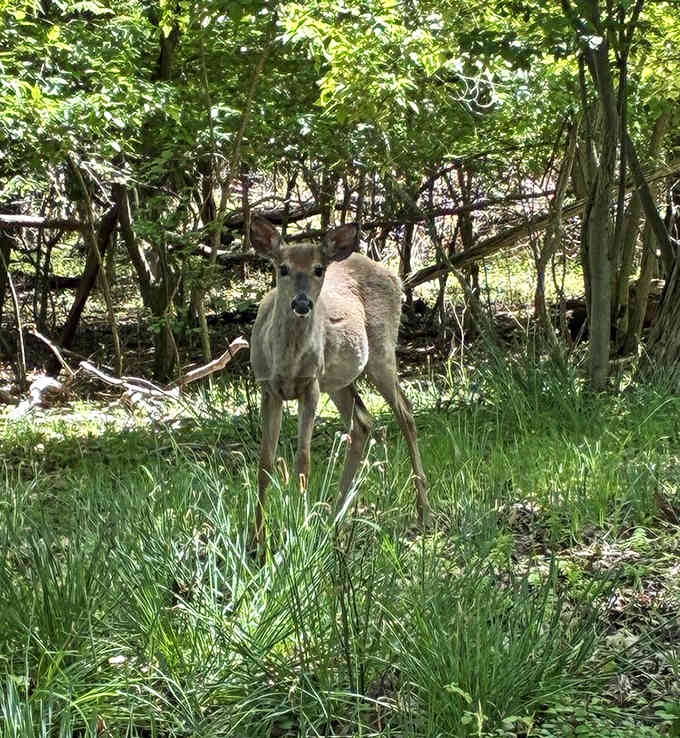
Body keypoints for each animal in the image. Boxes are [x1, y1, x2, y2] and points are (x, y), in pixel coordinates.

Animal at [249, 217, 432, 547]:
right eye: (283, 268)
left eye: (319, 269)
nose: (302, 303)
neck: (287, 362)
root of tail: (394, 277)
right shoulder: (268, 387)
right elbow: (265, 463)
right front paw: (258, 542)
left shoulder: (311, 386)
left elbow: (303, 460)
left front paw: (300, 532)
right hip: (338, 380)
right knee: (362, 422)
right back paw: (336, 518)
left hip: (380, 353)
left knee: (406, 412)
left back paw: (423, 511)